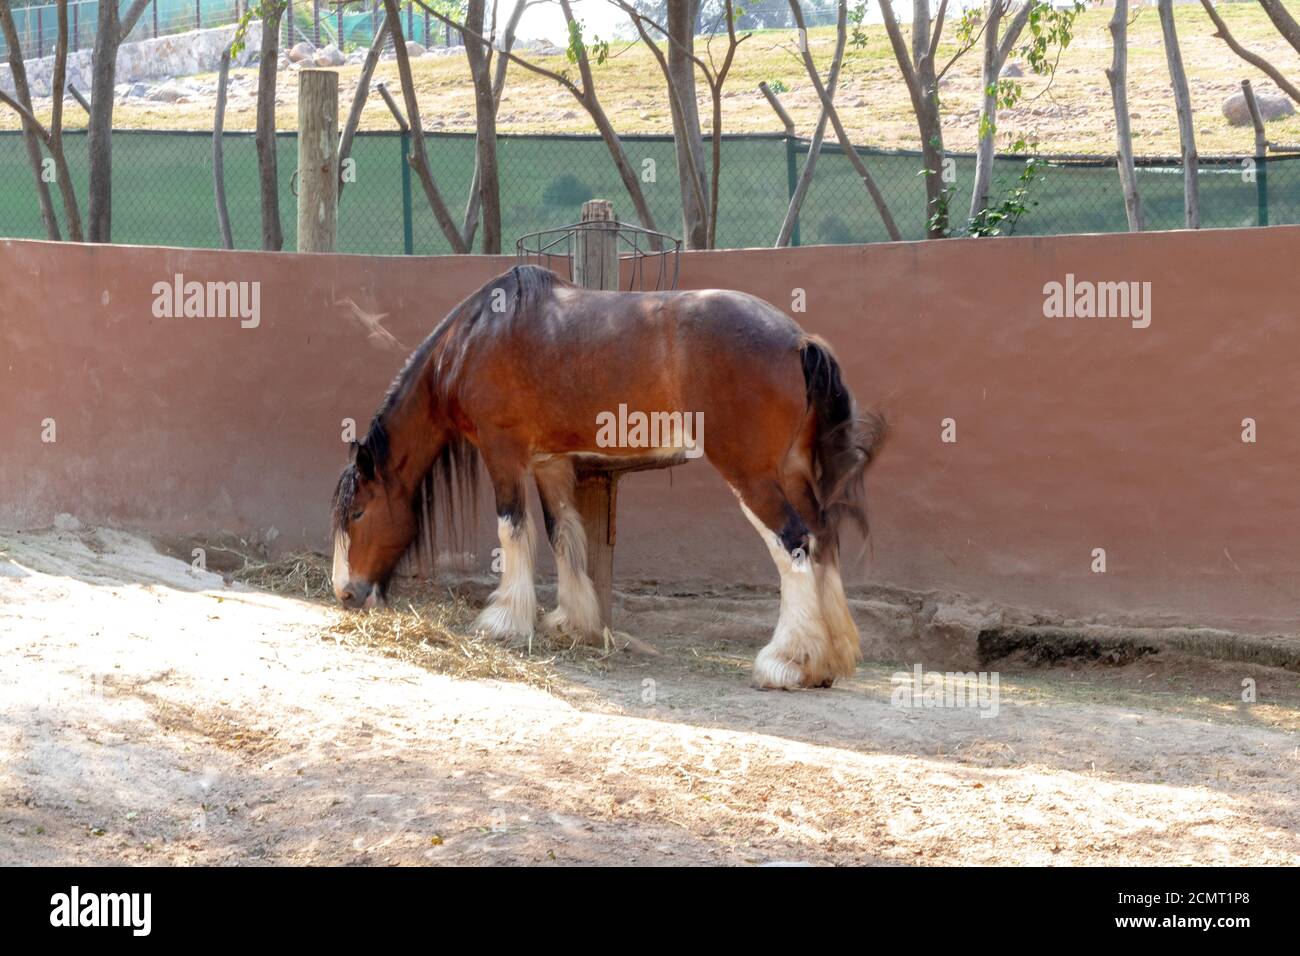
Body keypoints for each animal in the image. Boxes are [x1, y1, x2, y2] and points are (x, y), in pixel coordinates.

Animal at [331, 265, 883, 690]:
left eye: (357, 512)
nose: (345, 593)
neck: (474, 339)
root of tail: (799, 341)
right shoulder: (548, 462)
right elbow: (563, 534)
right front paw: (573, 623)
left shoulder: (503, 453)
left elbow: (513, 530)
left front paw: (504, 621)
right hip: (792, 472)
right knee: (823, 540)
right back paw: (828, 661)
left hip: (752, 474)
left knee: (794, 545)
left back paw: (786, 663)